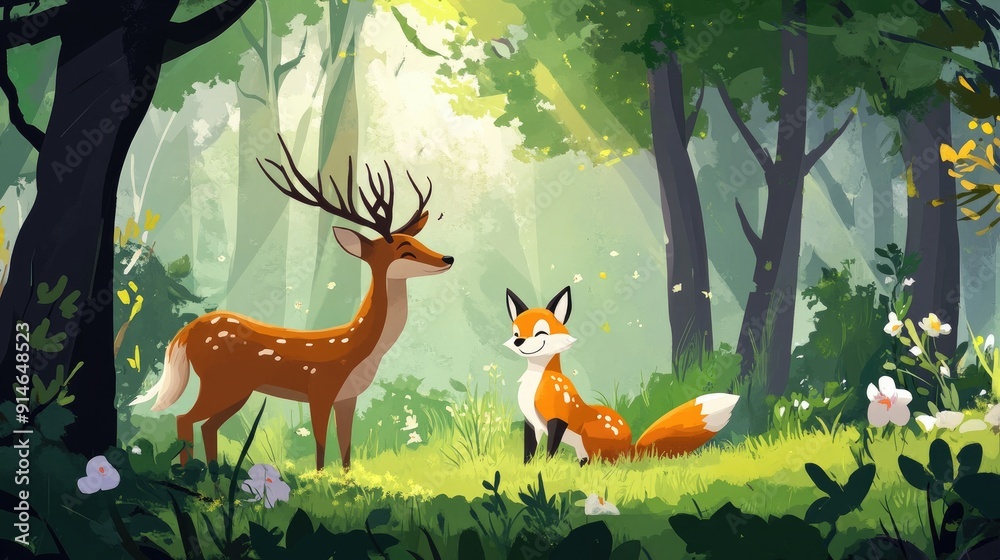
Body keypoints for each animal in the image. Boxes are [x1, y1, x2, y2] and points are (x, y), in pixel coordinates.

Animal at [130, 135, 453, 471]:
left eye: (417, 241)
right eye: (405, 250)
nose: (448, 258)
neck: (356, 349)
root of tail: (187, 331)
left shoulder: (348, 397)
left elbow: (347, 449)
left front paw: (346, 480)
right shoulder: (320, 388)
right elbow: (321, 444)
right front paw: (320, 478)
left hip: (237, 390)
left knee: (206, 425)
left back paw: (215, 478)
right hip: (221, 382)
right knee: (184, 418)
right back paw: (189, 475)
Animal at [504, 286, 739, 465]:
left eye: (540, 333)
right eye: (516, 333)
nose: (518, 341)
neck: (538, 380)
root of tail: (630, 448)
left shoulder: (558, 417)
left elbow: (550, 451)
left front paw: (547, 468)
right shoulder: (532, 422)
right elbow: (529, 452)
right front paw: (529, 470)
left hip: (589, 439)